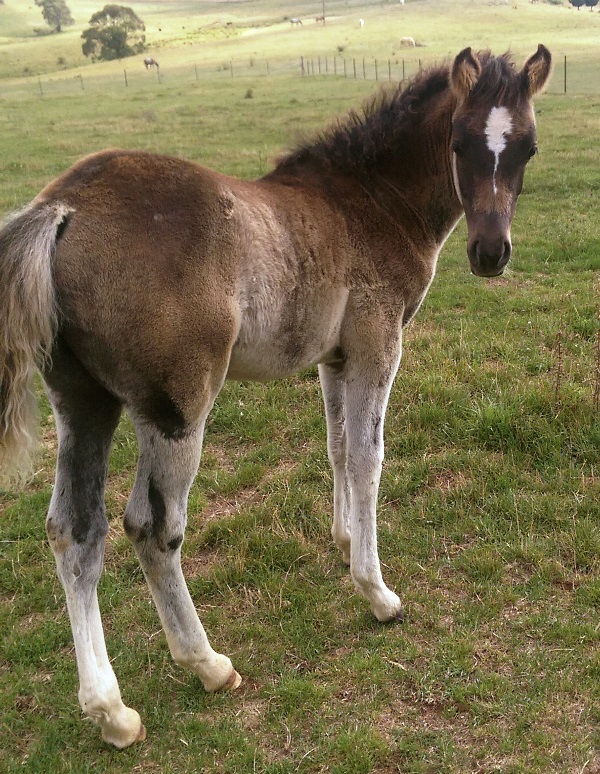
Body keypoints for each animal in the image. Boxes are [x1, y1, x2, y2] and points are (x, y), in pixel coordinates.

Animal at [0, 45, 551, 748]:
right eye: (458, 142)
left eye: (528, 148)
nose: (490, 253)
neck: (369, 199)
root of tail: (63, 207)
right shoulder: (378, 344)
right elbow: (369, 459)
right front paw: (376, 592)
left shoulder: (334, 358)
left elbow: (337, 448)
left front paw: (344, 541)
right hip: (176, 408)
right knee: (152, 528)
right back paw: (207, 664)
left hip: (84, 403)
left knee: (75, 532)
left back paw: (112, 711)